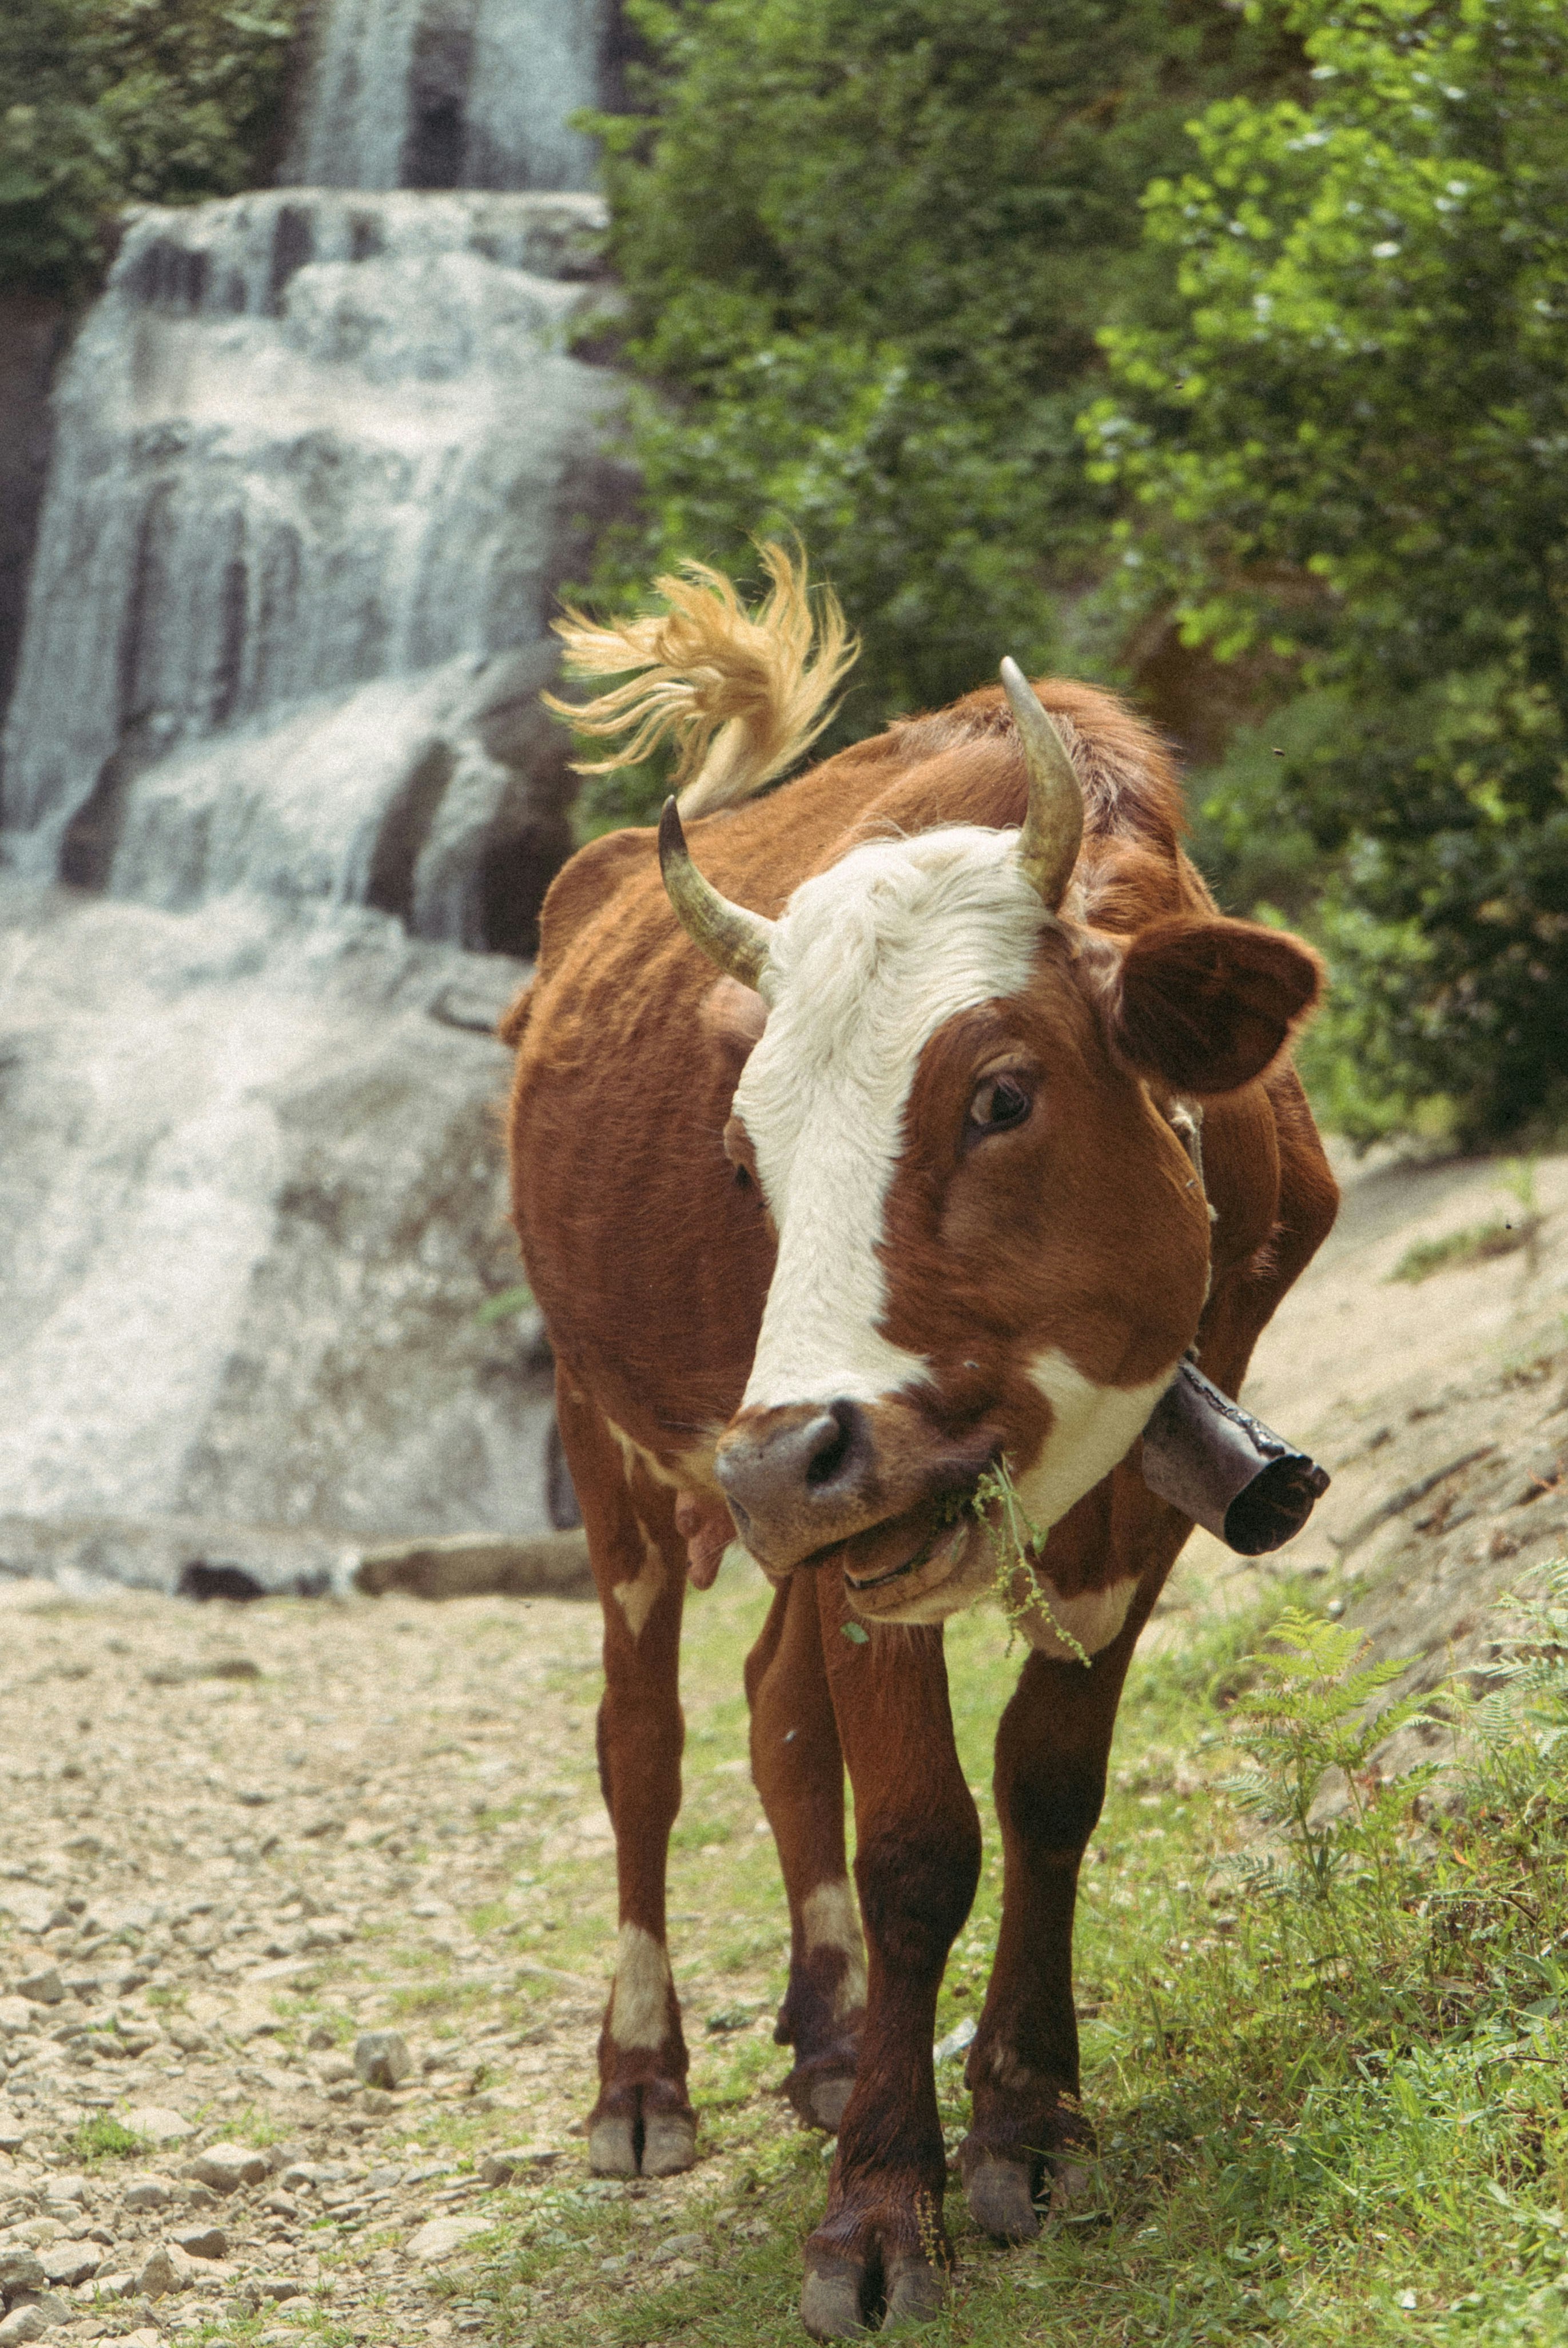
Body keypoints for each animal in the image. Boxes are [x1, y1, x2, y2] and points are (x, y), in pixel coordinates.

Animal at [502, 546, 1337, 2339]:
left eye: (1000, 1095)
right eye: (742, 1152)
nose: (774, 1466)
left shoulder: (1137, 1483)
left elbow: (1045, 1782)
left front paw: (1027, 2113)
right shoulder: (852, 1507)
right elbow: (912, 1841)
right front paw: (878, 2205)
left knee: (770, 1711)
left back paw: (824, 2035)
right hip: (620, 1441)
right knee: (641, 1739)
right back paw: (641, 2080)